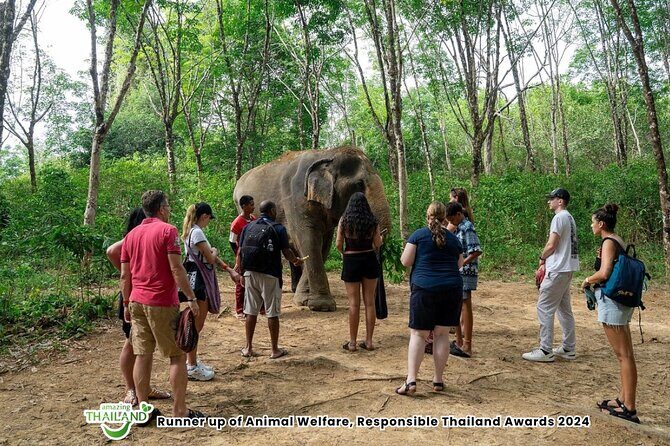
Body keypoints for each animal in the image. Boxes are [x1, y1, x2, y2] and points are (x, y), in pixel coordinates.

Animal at [233, 146, 392, 312]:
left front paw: (304, 299)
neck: (327, 154)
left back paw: (294, 289)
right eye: (359, 184)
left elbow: (323, 245)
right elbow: (308, 241)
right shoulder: (295, 199)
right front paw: (322, 305)